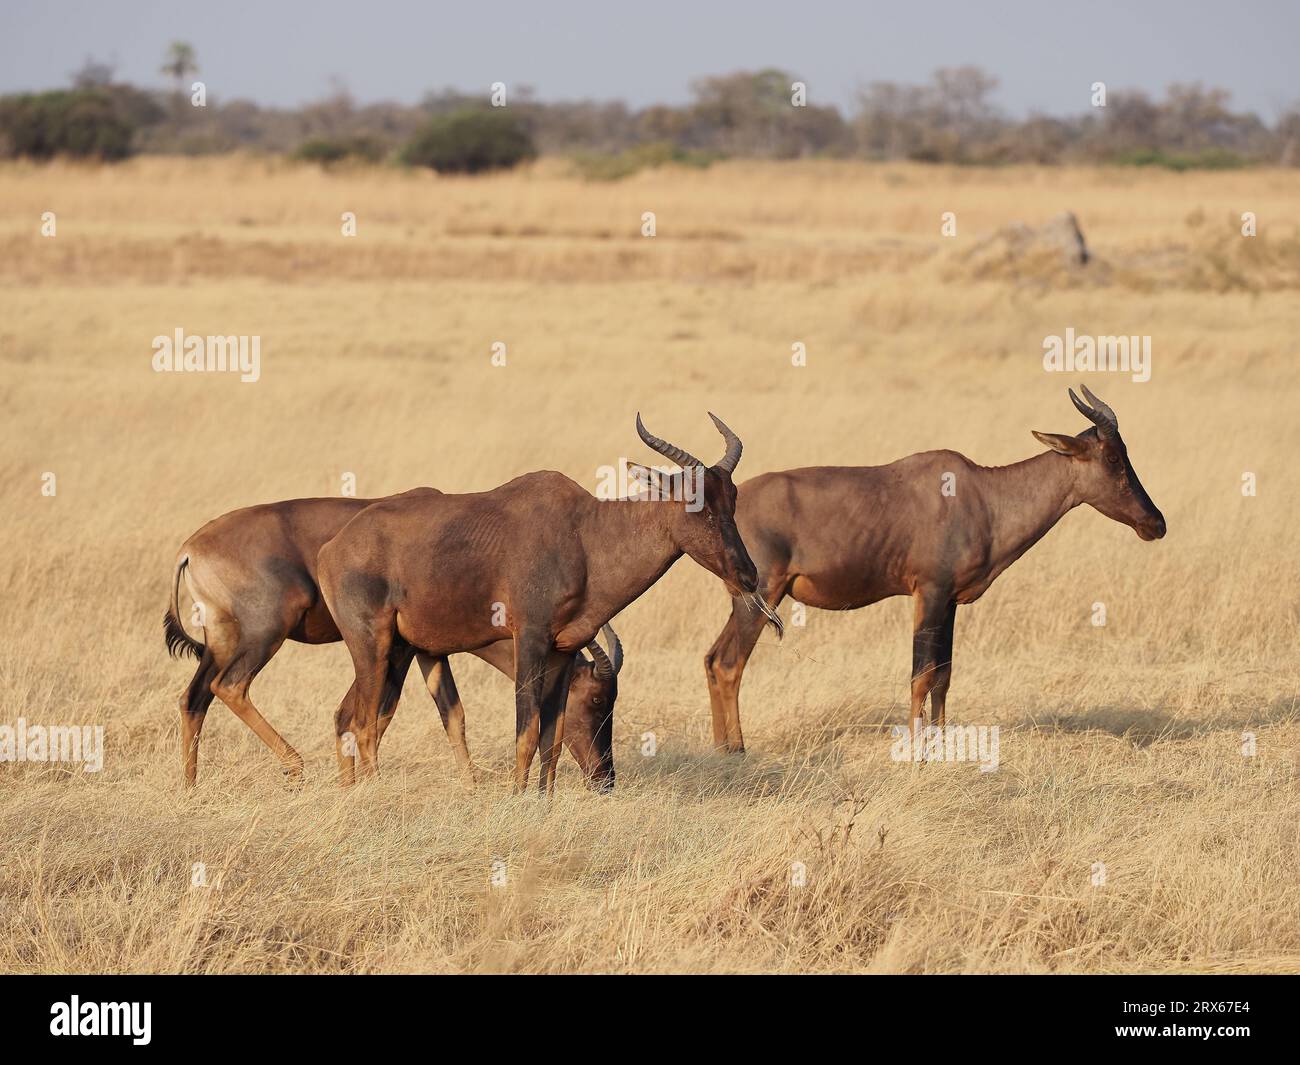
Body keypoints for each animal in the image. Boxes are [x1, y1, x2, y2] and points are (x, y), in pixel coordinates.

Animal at [164, 496, 624, 789]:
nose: (604, 778)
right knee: (230, 685)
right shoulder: (397, 649)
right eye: (596, 699)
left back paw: (189, 787)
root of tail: (191, 547)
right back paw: (294, 768)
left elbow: (449, 714)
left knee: (195, 697)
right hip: (264, 631)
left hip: (221, 639)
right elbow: (368, 716)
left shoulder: (424, 651)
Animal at [317, 413, 781, 793]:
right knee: (363, 723)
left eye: (734, 498)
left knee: (354, 717)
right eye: (694, 502)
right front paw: (517, 800)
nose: (748, 576)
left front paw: (542, 801)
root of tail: (332, 548)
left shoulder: (563, 650)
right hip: (373, 646)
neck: (583, 532)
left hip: (401, 649)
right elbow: (526, 731)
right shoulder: (530, 638)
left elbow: (551, 740)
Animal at [704, 387, 1166, 752]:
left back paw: (724, 750)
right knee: (728, 663)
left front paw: (941, 746)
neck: (981, 494)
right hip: (761, 597)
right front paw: (917, 754)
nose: (1155, 523)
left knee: (712, 660)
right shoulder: (928, 592)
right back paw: (738, 750)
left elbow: (943, 675)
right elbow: (921, 675)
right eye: (1112, 457)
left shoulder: (951, 602)